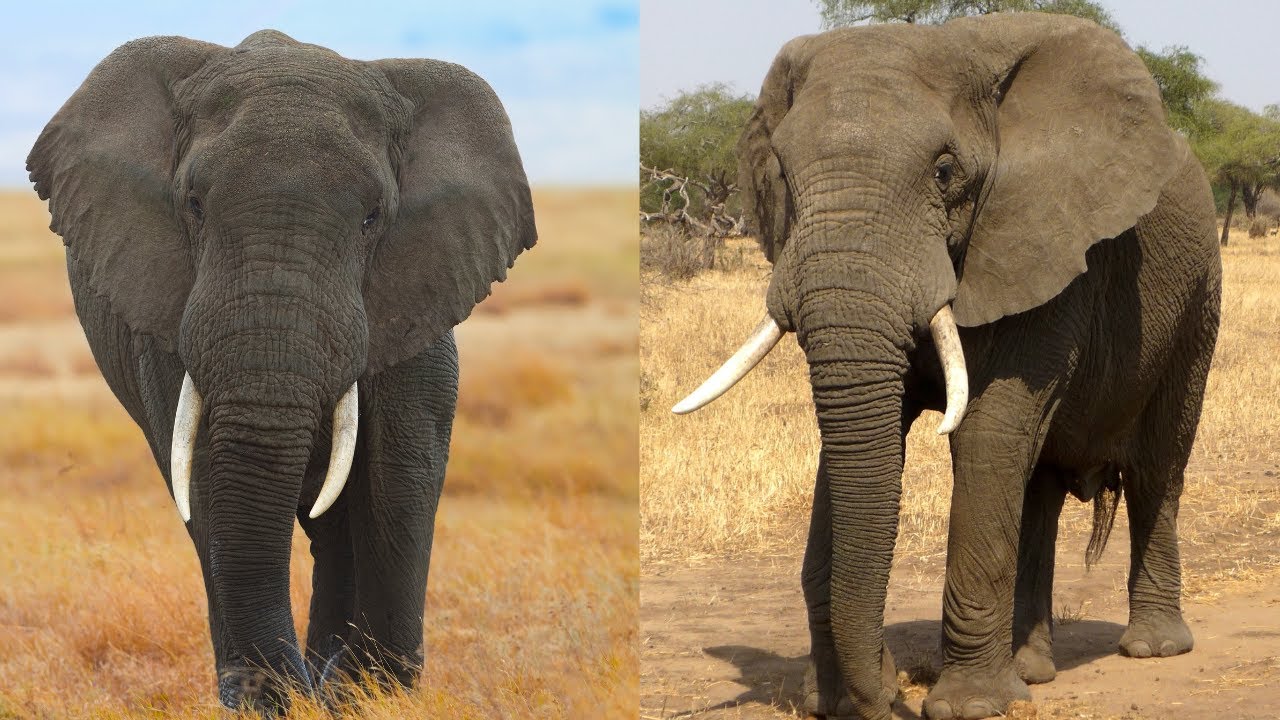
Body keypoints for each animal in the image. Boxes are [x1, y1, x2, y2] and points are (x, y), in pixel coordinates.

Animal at [27, 30, 535, 711]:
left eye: (373, 217)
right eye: (193, 205)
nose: (293, 690)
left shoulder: (421, 283)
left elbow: (403, 464)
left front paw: (373, 693)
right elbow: (208, 473)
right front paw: (277, 701)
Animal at [674, 13, 1220, 720]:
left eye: (943, 171)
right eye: (785, 178)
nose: (886, 695)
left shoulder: (1040, 245)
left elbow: (987, 430)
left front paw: (969, 707)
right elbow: (858, 439)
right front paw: (835, 700)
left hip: (1199, 297)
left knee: (1157, 466)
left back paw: (1152, 648)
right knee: (1038, 486)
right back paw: (1032, 669)